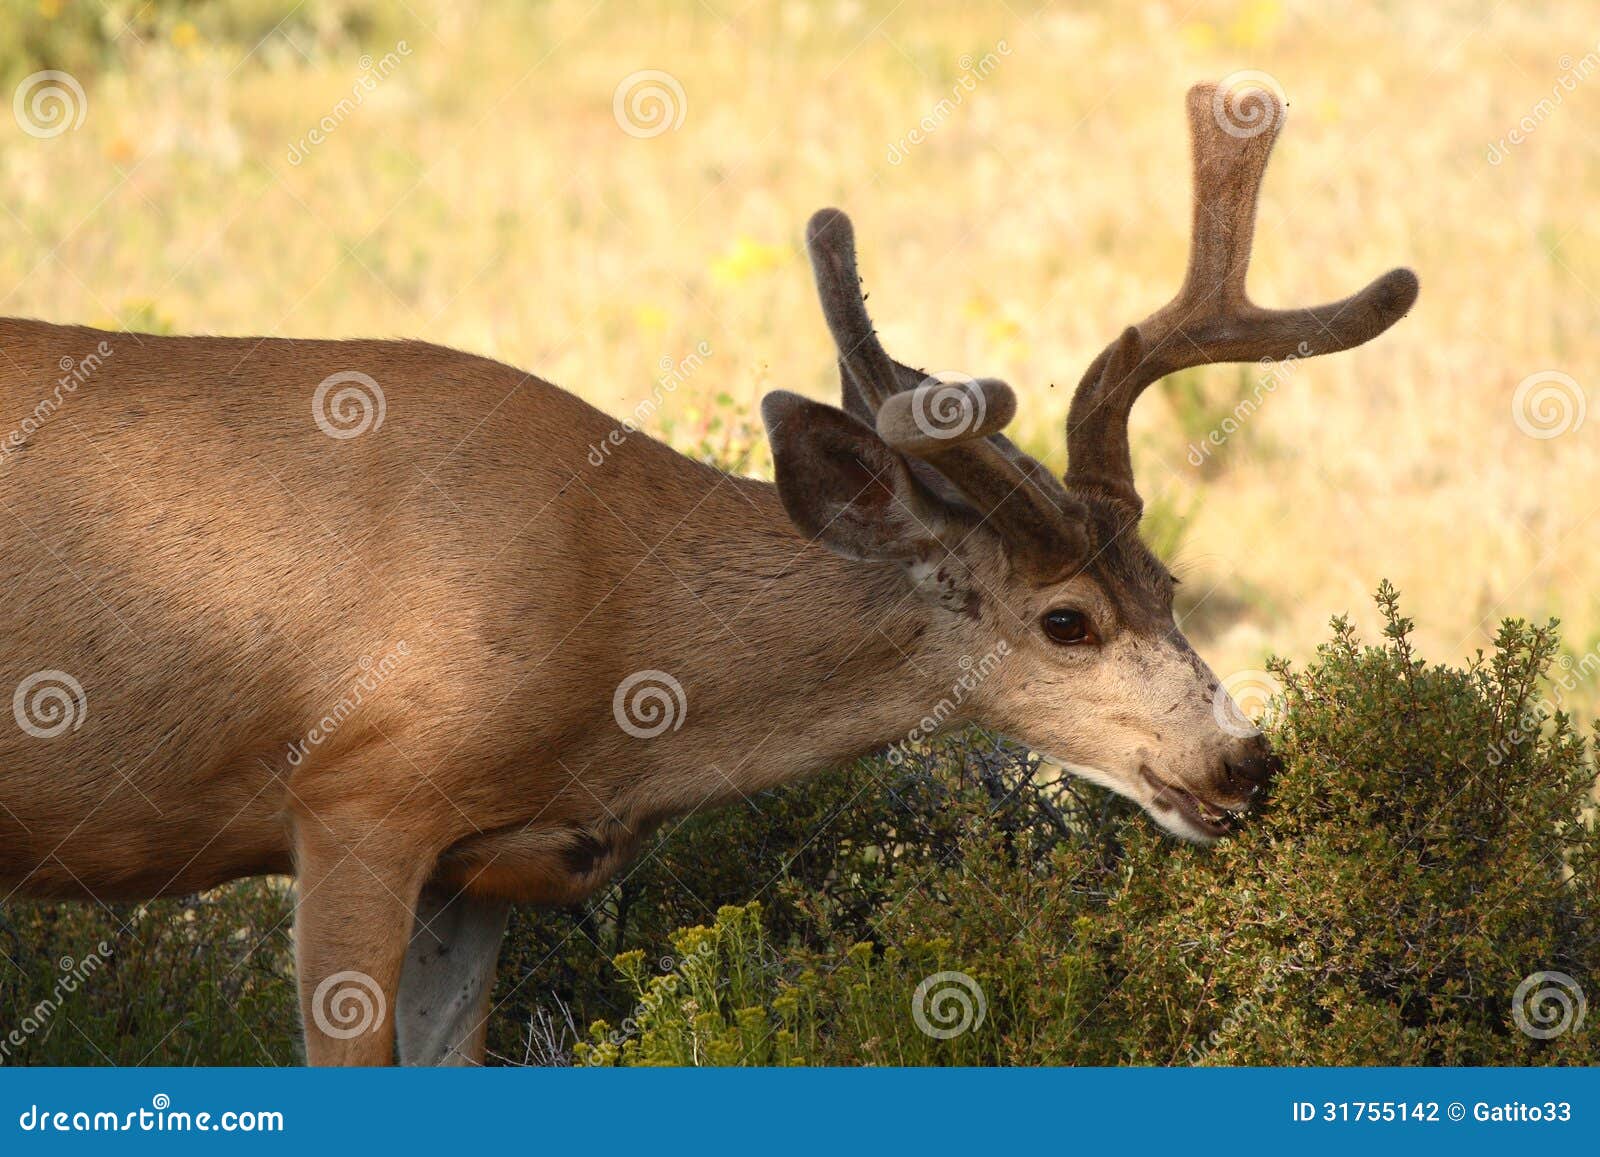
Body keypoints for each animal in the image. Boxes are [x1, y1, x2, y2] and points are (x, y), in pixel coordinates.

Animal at [0, 82, 1416, 1065]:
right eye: (1064, 618)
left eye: (1170, 584)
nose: (1243, 760)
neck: (621, 631)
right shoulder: (357, 787)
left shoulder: (486, 859)